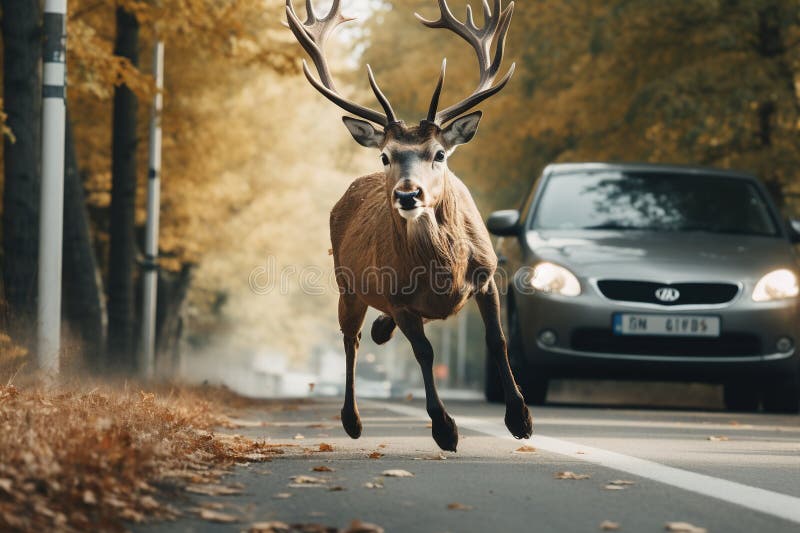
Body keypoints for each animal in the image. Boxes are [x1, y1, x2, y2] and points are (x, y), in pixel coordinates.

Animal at [285, 0, 532, 451]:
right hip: (347, 284)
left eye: (439, 153)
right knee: (351, 339)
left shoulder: (488, 274)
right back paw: (352, 419)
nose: (407, 194)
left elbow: (497, 339)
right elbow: (425, 353)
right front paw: (445, 429)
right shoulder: (397, 296)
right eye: (386, 155)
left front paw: (520, 417)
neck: (443, 269)